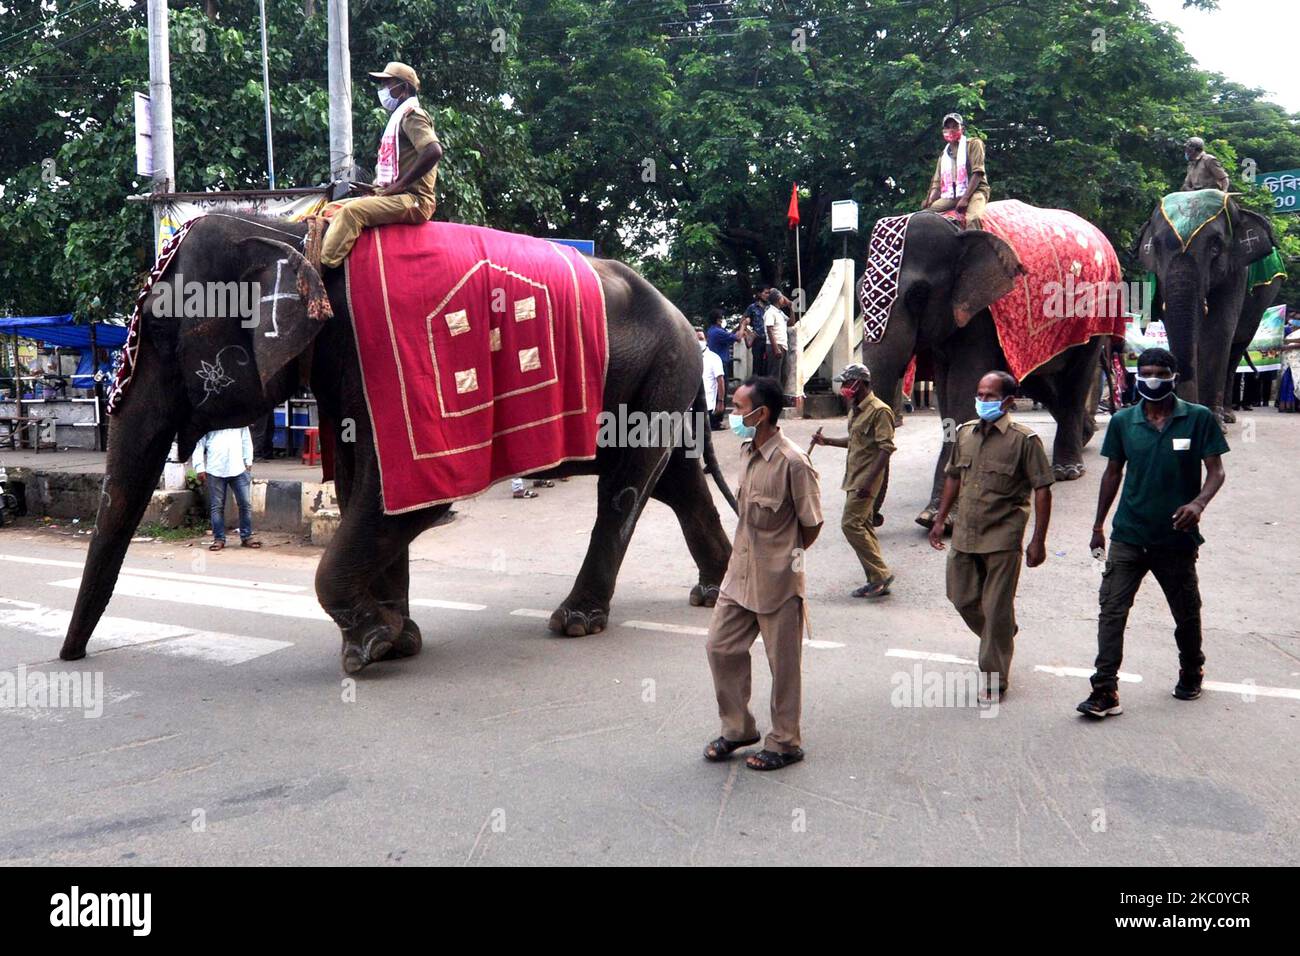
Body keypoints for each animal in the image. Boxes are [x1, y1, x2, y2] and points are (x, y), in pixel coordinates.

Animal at [58, 214, 736, 673]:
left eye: (161, 337)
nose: (72, 660)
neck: (294, 231)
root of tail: (687, 322)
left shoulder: (393, 366)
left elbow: (404, 496)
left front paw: (370, 647)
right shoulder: (347, 373)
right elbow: (369, 484)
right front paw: (397, 639)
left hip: (661, 373)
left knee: (625, 489)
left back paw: (575, 622)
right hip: (662, 380)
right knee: (674, 482)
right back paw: (714, 593)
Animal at [860, 210, 1106, 529]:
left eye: (918, 295)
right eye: (857, 293)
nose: (876, 519)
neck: (957, 228)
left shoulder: (983, 315)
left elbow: (965, 388)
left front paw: (939, 519)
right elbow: (947, 392)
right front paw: (934, 516)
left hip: (1096, 314)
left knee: (1077, 377)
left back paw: (1067, 470)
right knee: (1037, 381)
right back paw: (1085, 436)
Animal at [1133, 191, 1278, 421]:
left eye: (1215, 247)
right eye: (1155, 247)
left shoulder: (1236, 271)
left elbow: (1219, 328)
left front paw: (1212, 418)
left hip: (1259, 306)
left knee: (1236, 349)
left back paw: (1227, 415)